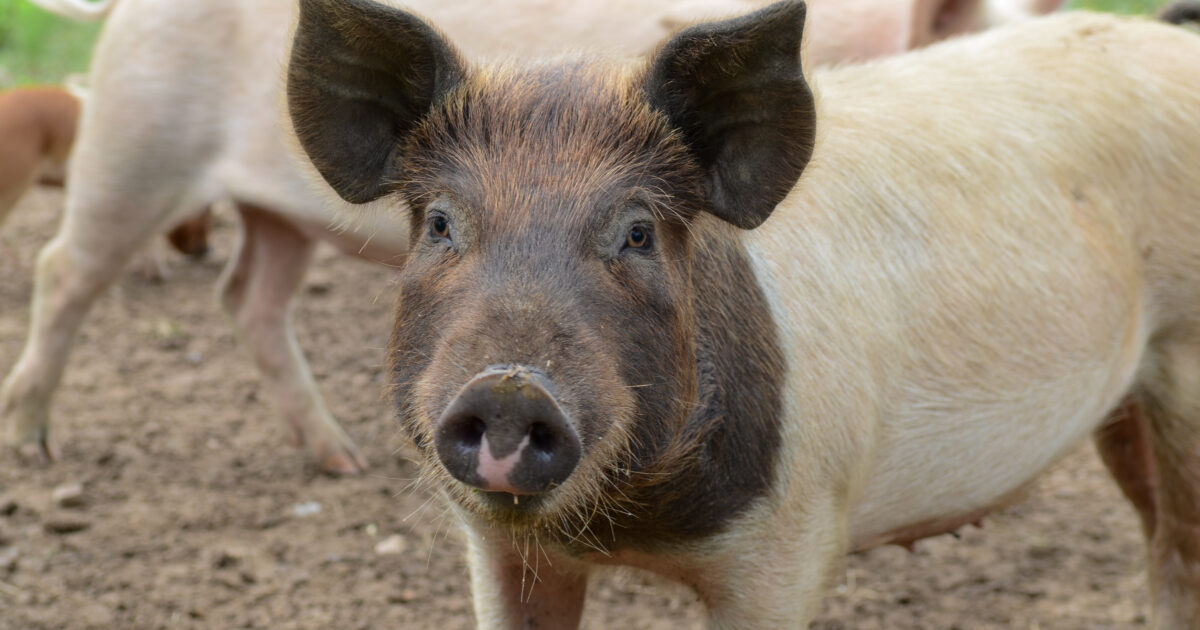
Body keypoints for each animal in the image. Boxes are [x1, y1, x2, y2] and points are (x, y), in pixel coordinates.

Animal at [4, 0, 1064, 474]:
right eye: (971, 29)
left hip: (278, 208)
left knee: (250, 299)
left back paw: (341, 460)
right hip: (135, 144)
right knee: (64, 270)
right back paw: (35, 446)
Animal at [286, 0, 1200, 627]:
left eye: (638, 232)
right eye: (441, 224)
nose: (511, 388)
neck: (629, 529)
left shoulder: (790, 544)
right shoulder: (498, 547)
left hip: (1186, 354)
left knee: (1175, 553)